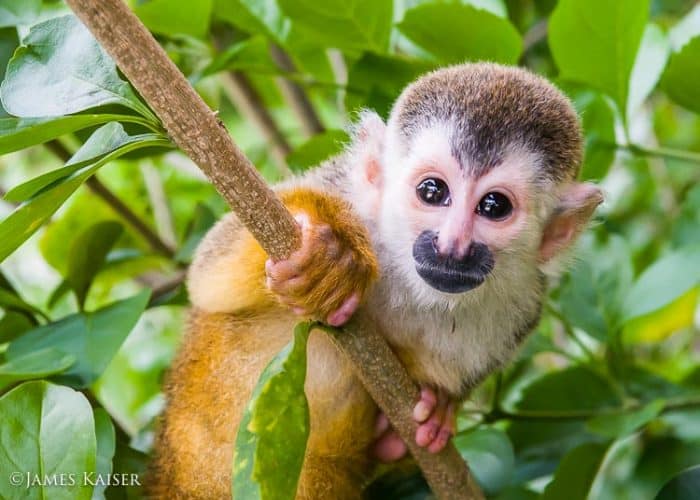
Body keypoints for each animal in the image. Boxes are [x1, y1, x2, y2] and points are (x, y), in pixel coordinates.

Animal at [147, 62, 603, 499]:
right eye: (432, 191)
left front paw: (439, 409)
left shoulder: (523, 307)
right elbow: (208, 272)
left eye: (494, 206)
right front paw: (328, 255)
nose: (452, 246)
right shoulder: (346, 190)